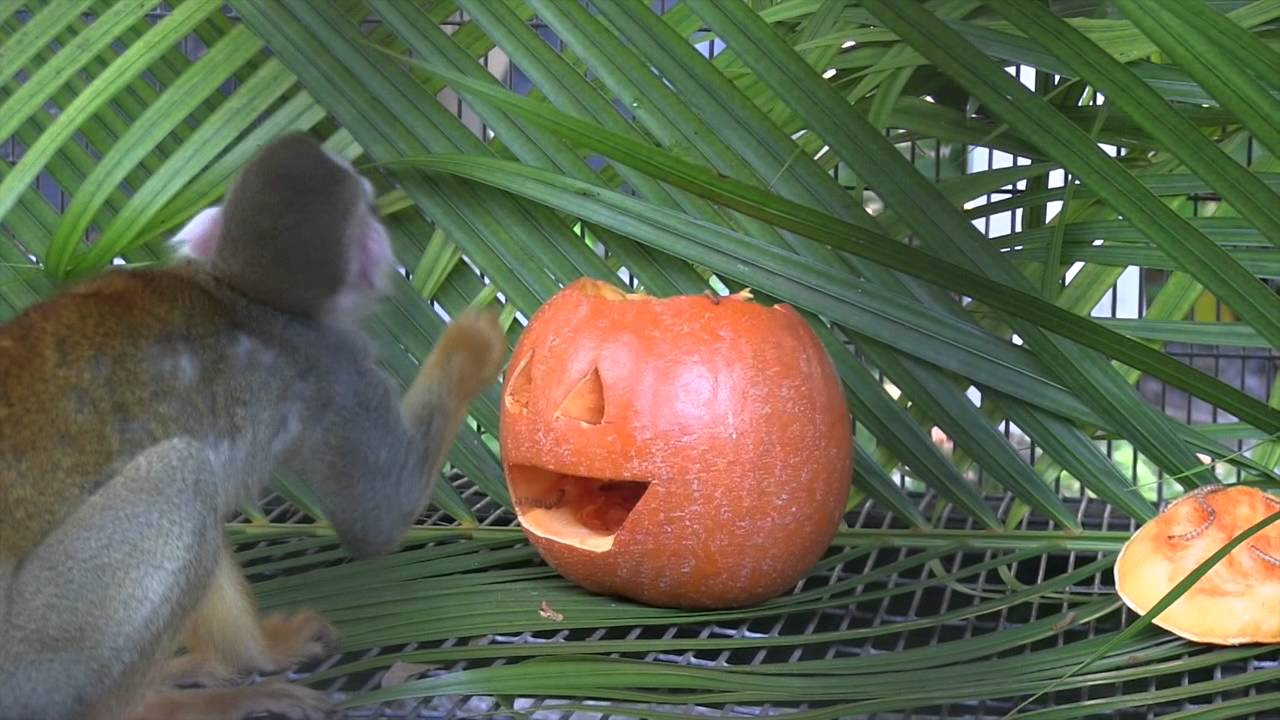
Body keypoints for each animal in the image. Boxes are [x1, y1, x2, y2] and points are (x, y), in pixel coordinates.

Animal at [0, 133, 507, 720]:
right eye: (371, 209)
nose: (384, 234)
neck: (239, 289)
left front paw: (260, 652)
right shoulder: (337, 369)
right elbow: (378, 521)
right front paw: (471, 347)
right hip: (33, 651)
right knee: (182, 475)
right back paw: (151, 706)